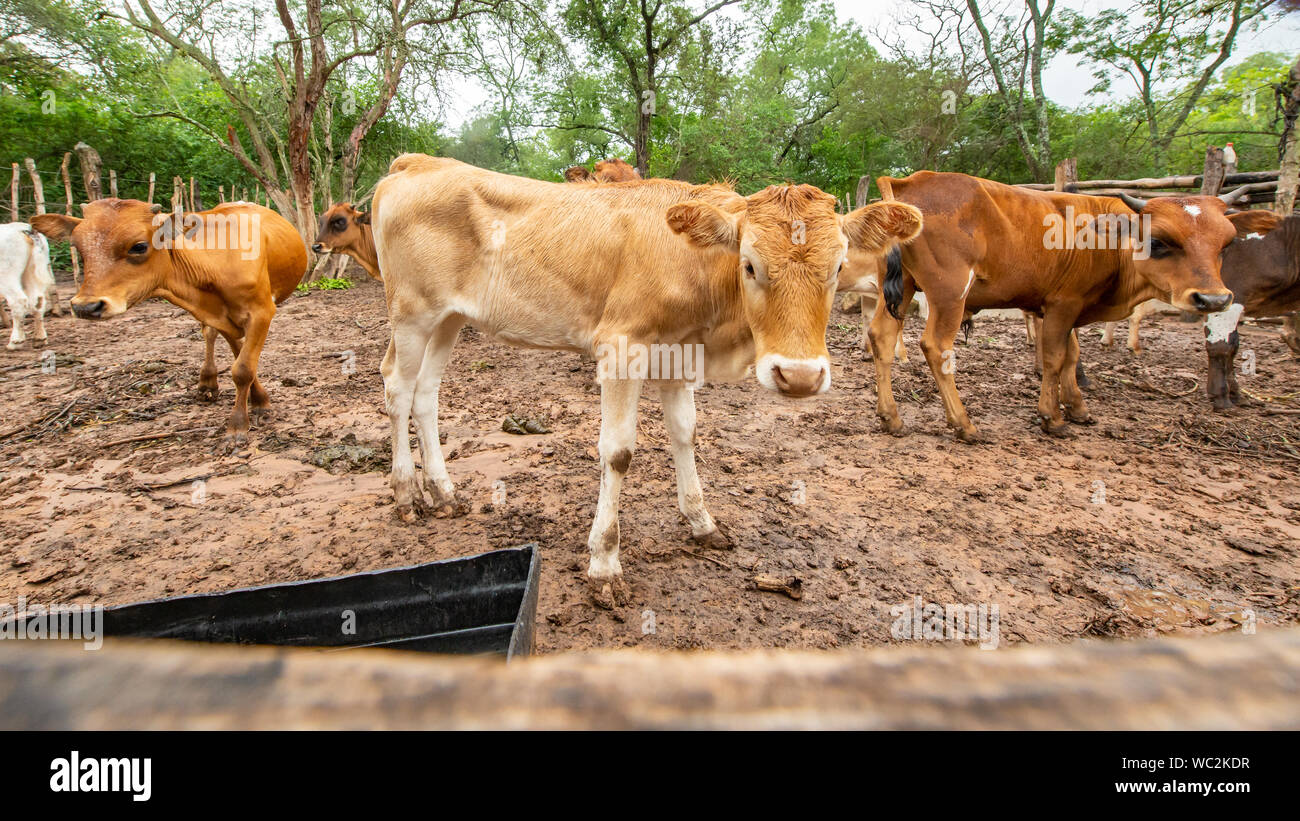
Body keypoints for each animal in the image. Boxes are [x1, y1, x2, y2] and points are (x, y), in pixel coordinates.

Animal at [0, 222, 55, 350]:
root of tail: (26, 229)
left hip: (7, 276)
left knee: (18, 301)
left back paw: (15, 341)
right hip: (31, 272)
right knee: (38, 300)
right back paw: (40, 339)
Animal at [30, 200, 308, 450]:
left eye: (139, 246)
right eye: (78, 248)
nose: (85, 307)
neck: (211, 264)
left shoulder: (262, 312)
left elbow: (243, 368)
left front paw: (244, 420)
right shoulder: (220, 316)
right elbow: (238, 357)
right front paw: (255, 402)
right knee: (209, 335)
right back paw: (207, 382)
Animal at [372, 154, 922, 607]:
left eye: (838, 267)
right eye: (749, 265)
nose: (801, 376)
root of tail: (417, 163)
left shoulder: (679, 354)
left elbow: (686, 434)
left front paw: (701, 522)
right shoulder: (620, 347)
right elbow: (618, 452)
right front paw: (604, 563)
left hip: (449, 318)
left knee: (426, 394)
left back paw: (443, 492)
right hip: (412, 313)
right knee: (397, 387)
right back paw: (406, 495)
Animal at [868, 171, 1243, 440]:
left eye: (1227, 243)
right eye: (1159, 241)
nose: (1214, 298)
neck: (1107, 235)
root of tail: (907, 182)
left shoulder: (1067, 305)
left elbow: (1072, 356)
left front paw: (1077, 407)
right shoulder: (1064, 304)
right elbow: (1055, 357)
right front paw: (1053, 417)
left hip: (902, 289)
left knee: (881, 337)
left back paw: (892, 417)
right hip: (949, 294)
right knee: (936, 347)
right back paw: (964, 423)